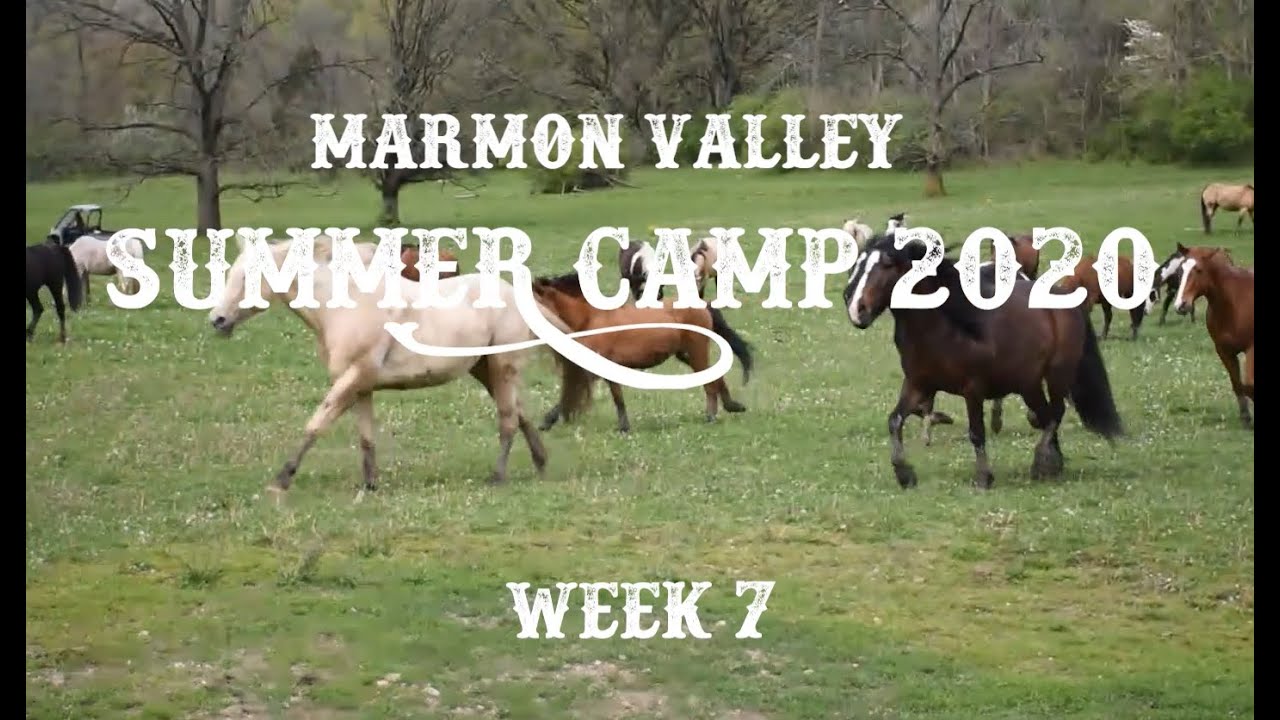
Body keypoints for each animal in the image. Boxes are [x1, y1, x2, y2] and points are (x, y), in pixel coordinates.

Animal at [206, 234, 593, 492]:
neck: (346, 306)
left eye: (248, 277)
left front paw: (282, 480)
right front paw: (370, 484)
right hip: (484, 369)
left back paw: (497, 478)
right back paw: (541, 464)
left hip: (501, 367)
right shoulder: (360, 385)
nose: (217, 320)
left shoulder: (352, 379)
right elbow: (365, 438)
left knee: (509, 420)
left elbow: (317, 423)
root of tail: (514, 295)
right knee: (521, 413)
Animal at [531, 270, 754, 433]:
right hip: (685, 353)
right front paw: (624, 427)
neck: (590, 317)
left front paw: (546, 422)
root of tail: (702, 306)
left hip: (696, 349)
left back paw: (712, 415)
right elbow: (617, 398)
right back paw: (733, 406)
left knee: (710, 382)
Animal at [843, 233, 1124, 489]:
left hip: (1057, 374)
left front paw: (983, 478)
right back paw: (1054, 464)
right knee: (1045, 417)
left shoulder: (973, 389)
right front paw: (905, 474)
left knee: (1055, 414)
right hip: (1028, 383)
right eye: (858, 263)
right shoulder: (919, 384)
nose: (856, 308)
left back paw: (1041, 462)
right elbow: (895, 421)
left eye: (887, 264)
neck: (945, 328)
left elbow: (976, 433)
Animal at [1171, 243, 1254, 428]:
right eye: (1180, 270)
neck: (1234, 303)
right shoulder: (1224, 351)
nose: (1181, 305)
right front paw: (1246, 418)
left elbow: (1249, 384)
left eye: (1199, 270)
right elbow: (1237, 384)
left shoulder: (1251, 349)